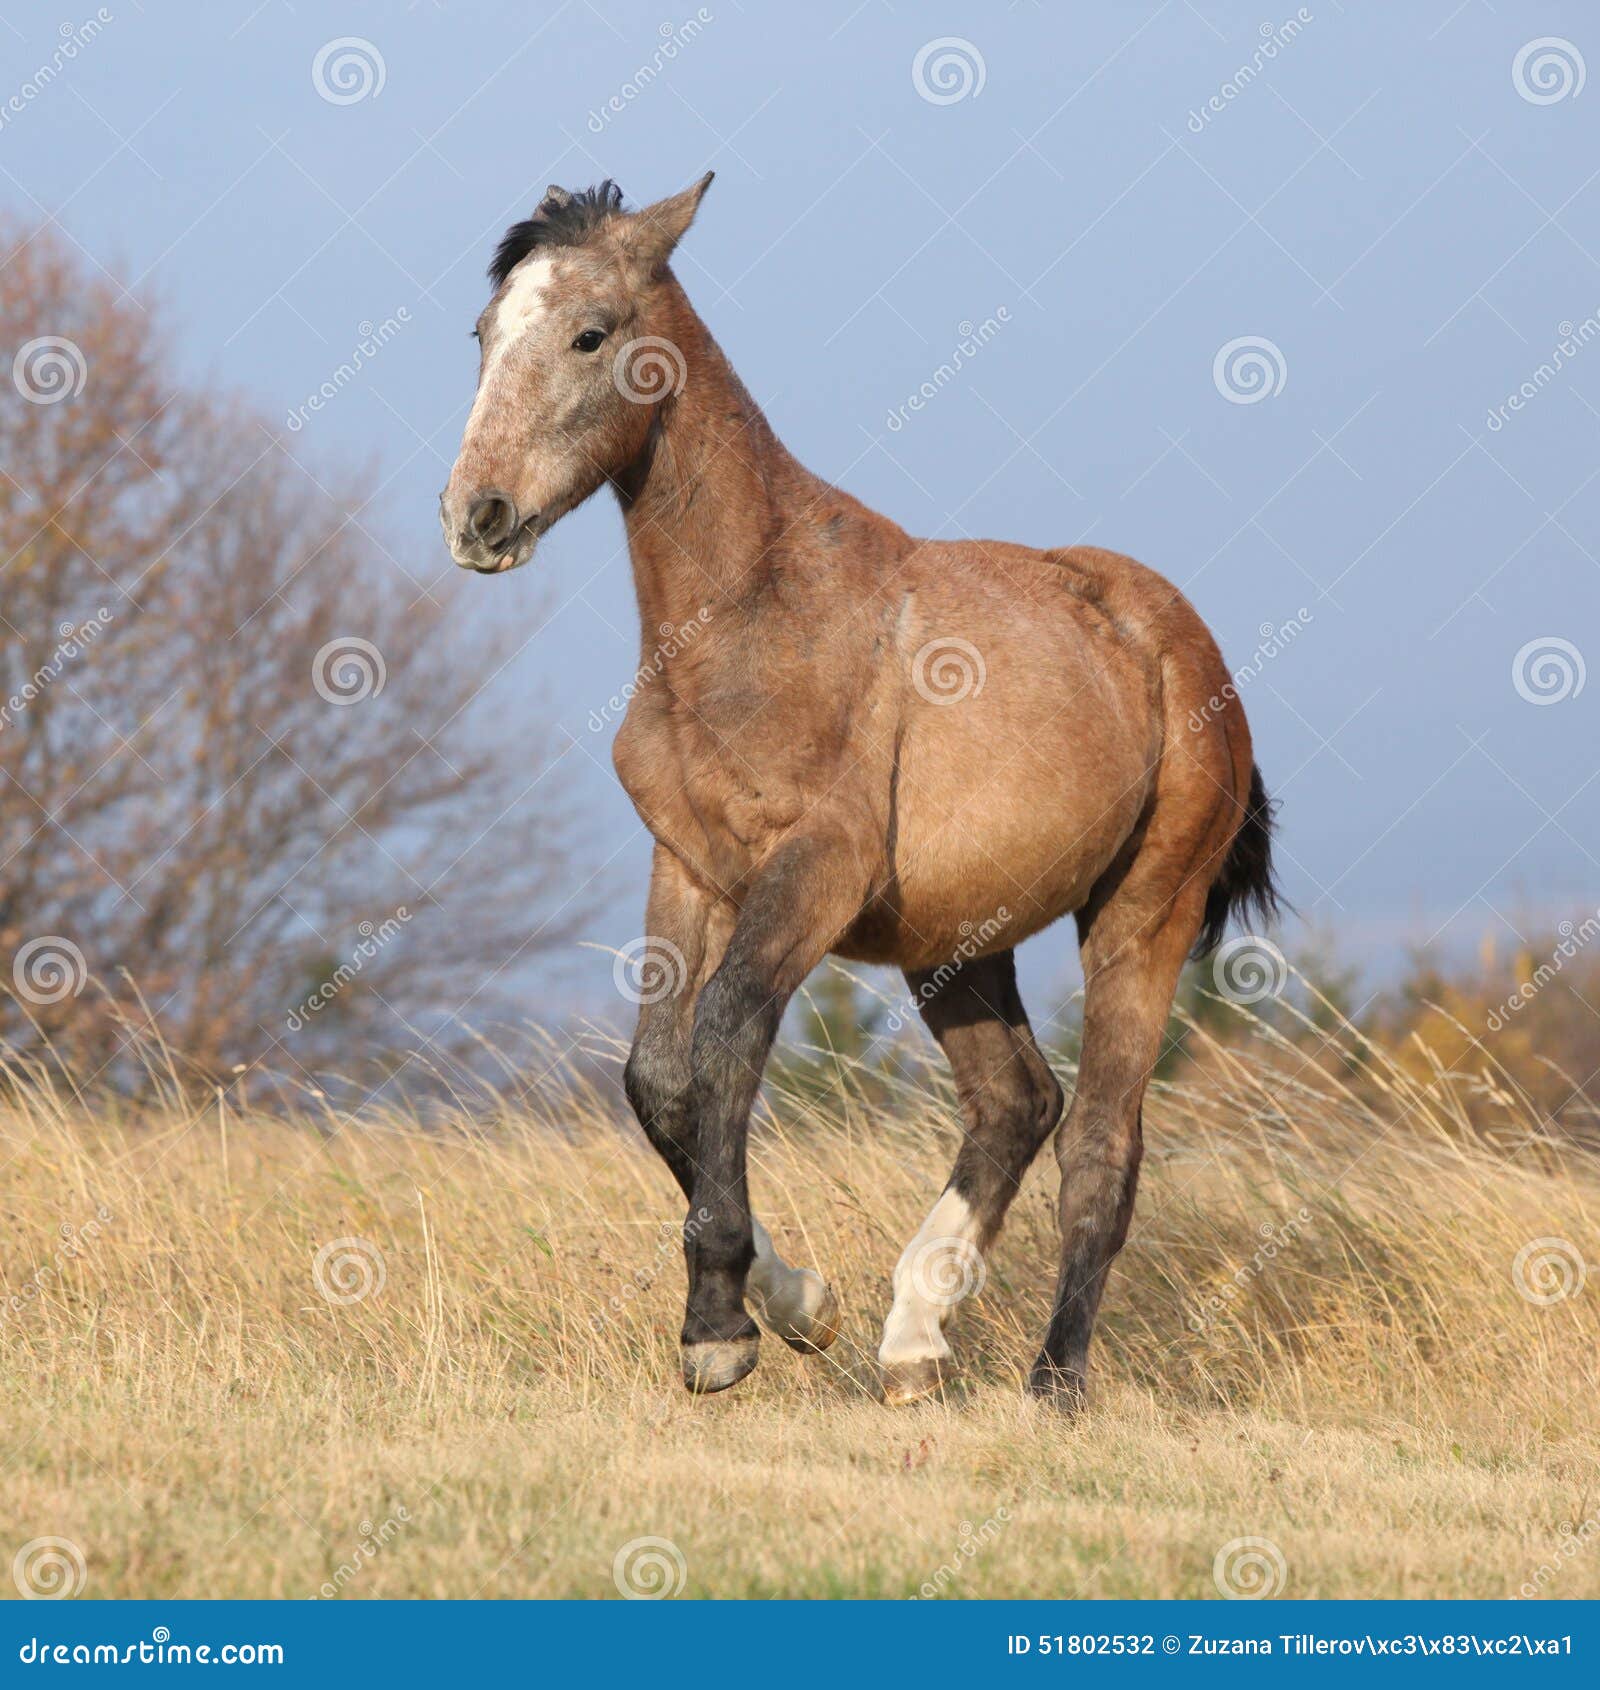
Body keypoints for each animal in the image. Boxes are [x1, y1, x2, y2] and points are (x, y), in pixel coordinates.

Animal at [440, 175, 1280, 1410]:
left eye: (591, 334)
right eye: (483, 333)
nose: (478, 518)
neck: (750, 615)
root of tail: (1179, 640)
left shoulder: (815, 874)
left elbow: (725, 1037)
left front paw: (719, 1328)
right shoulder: (689, 868)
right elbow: (660, 1081)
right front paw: (797, 1306)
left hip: (1144, 914)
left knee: (1100, 1145)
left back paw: (1054, 1383)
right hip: (959, 943)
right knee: (1018, 1101)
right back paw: (914, 1337)